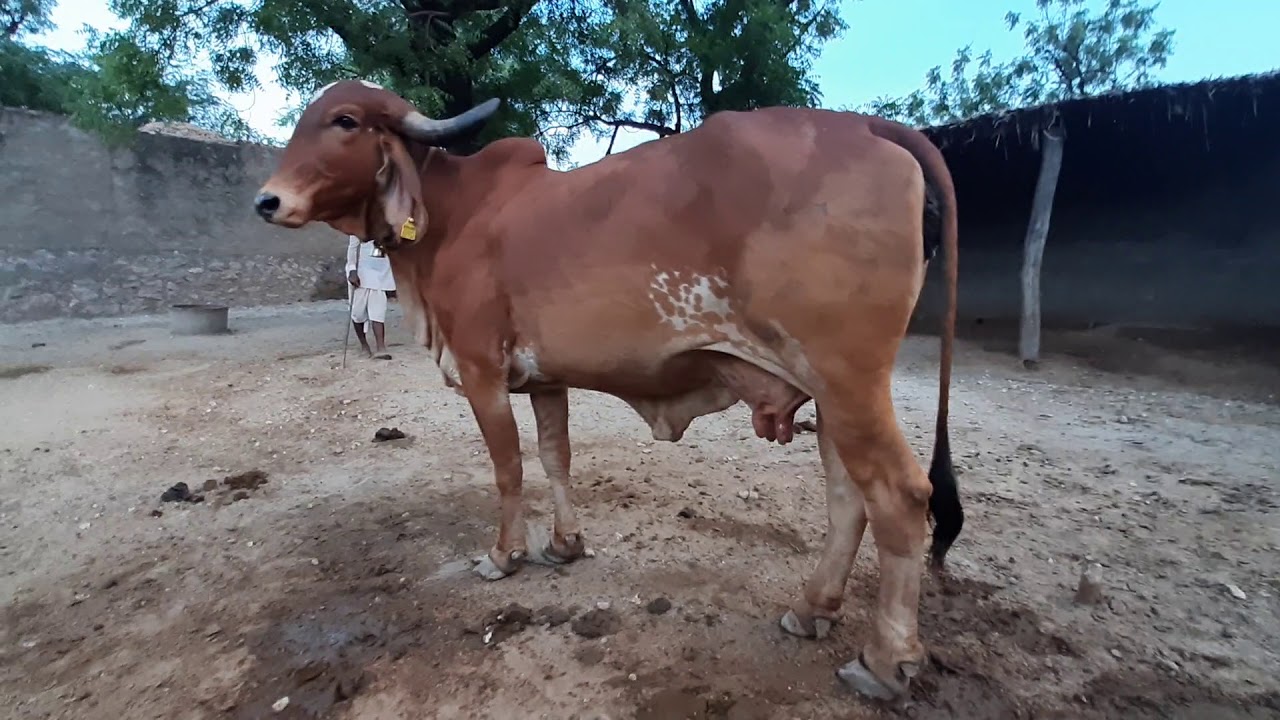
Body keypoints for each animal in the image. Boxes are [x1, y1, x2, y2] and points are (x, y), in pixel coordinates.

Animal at [253, 80, 964, 702]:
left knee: (900, 497)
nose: (267, 202)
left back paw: (885, 661)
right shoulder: (544, 379)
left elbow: (509, 468)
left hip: (849, 382)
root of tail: (866, 125)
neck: (451, 217)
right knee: (849, 500)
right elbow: (554, 457)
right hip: (829, 392)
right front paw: (564, 544)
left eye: (345, 121)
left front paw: (505, 555)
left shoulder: (483, 372)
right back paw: (812, 608)